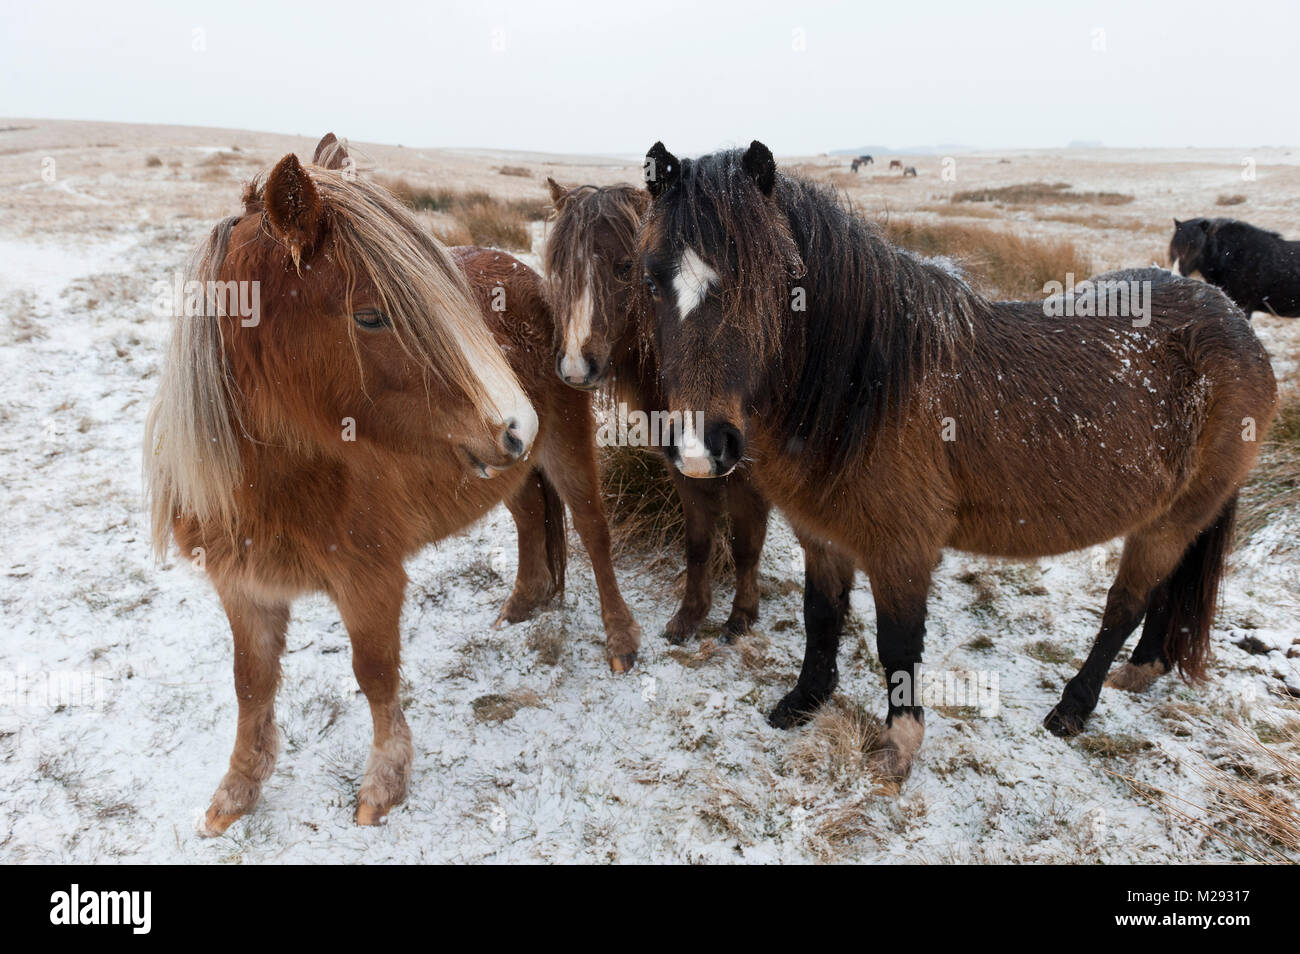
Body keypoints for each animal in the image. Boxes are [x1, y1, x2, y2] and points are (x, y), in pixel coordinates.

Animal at [145, 134, 640, 833]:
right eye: (372, 316)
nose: (518, 423)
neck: (276, 483)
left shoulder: (369, 580)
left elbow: (374, 672)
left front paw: (383, 782)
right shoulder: (243, 589)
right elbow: (250, 684)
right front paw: (237, 791)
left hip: (566, 447)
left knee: (594, 534)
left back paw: (620, 640)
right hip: (509, 470)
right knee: (526, 517)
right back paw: (522, 603)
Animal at [637, 139, 1277, 782]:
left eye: (766, 283)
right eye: (652, 281)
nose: (698, 445)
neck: (867, 388)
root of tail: (1233, 320)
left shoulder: (902, 546)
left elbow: (897, 643)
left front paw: (898, 744)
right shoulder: (821, 534)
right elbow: (820, 617)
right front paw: (804, 701)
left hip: (1172, 519)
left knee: (1127, 605)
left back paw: (1074, 707)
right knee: (1168, 593)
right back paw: (1144, 670)